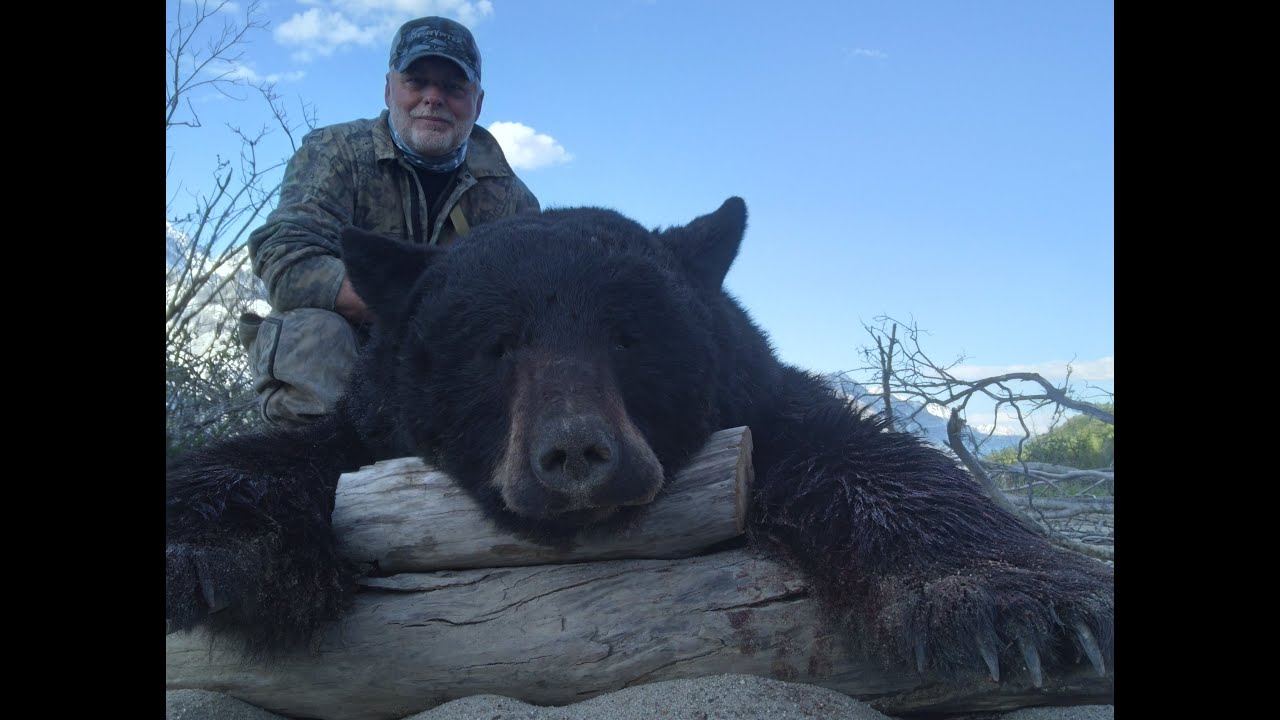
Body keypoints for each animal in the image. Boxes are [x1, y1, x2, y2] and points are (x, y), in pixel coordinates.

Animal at [166, 197, 1112, 688]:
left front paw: (1019, 599)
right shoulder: (367, 423)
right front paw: (196, 551)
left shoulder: (764, 399)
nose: (576, 452)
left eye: (629, 337)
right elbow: (277, 459)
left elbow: (870, 458)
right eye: (495, 345)